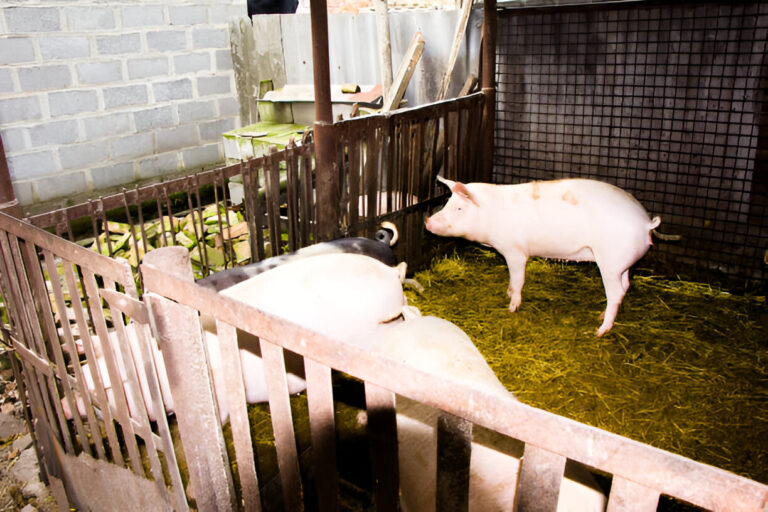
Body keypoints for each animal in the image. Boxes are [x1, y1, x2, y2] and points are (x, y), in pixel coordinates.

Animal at [425, 176, 662, 336]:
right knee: (625, 287)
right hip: (621, 264)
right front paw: (507, 293)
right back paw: (600, 316)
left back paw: (600, 330)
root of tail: (645, 223)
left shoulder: (515, 251)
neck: (491, 217)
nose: (427, 221)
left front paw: (511, 308)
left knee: (615, 293)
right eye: (447, 204)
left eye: (458, 208)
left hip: (610, 263)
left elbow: (518, 279)